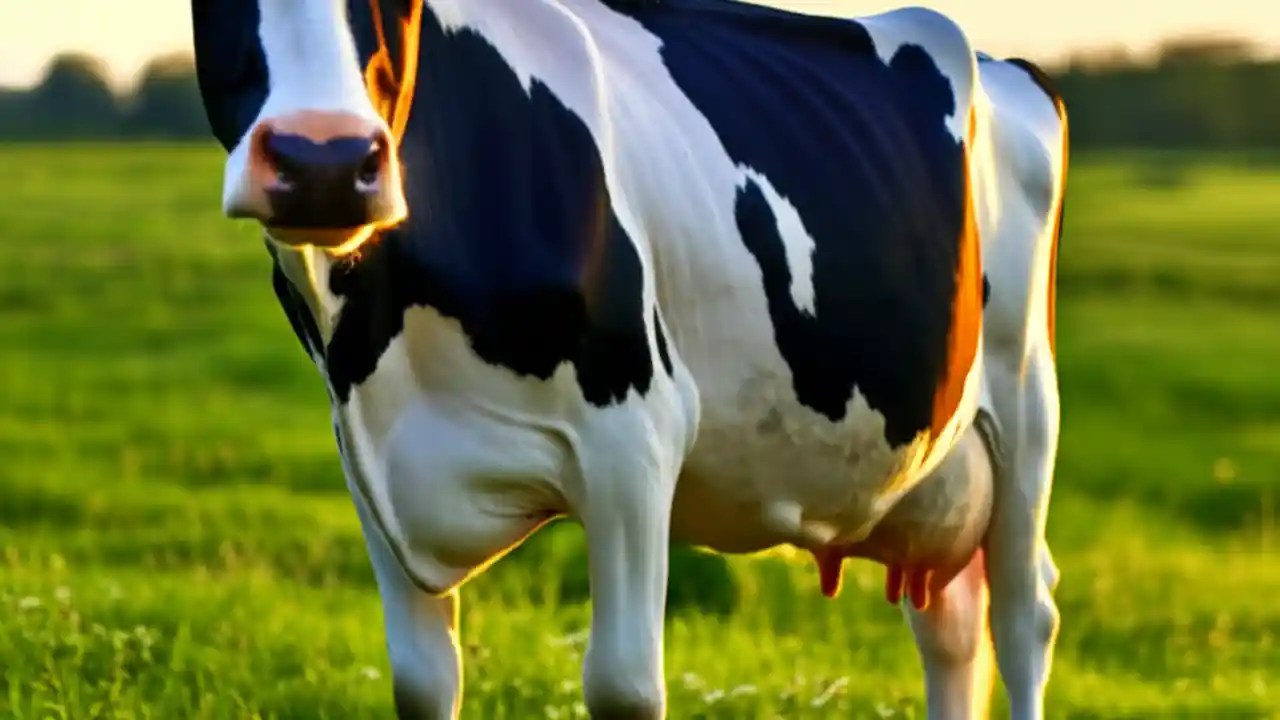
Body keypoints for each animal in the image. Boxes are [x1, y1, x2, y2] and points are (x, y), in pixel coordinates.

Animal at [191, 0, 1068, 717]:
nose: (325, 162)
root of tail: (1003, 64)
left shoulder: (634, 439)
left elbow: (622, 684)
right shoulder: (374, 462)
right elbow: (423, 681)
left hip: (1024, 405)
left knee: (1023, 617)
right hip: (936, 483)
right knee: (951, 629)